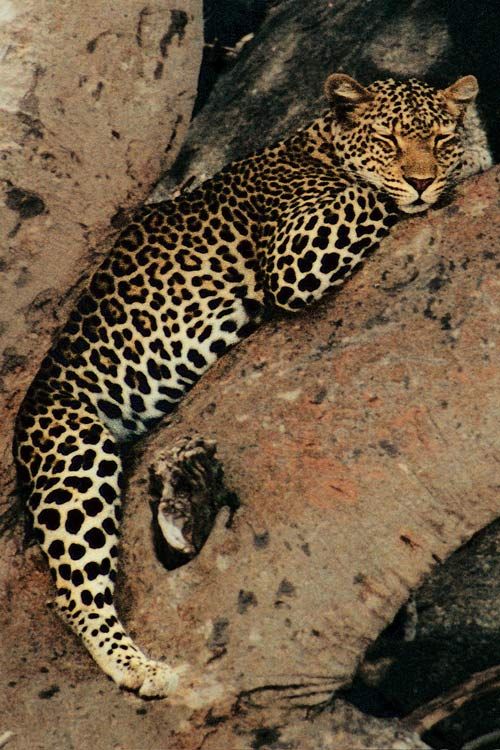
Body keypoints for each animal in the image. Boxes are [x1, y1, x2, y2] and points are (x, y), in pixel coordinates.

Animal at [13, 73, 491, 699]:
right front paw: (473, 159)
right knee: (74, 590)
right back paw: (138, 665)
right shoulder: (296, 253)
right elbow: (371, 194)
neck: (318, 144)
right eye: (388, 140)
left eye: (438, 138)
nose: (422, 178)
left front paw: (469, 151)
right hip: (72, 447)